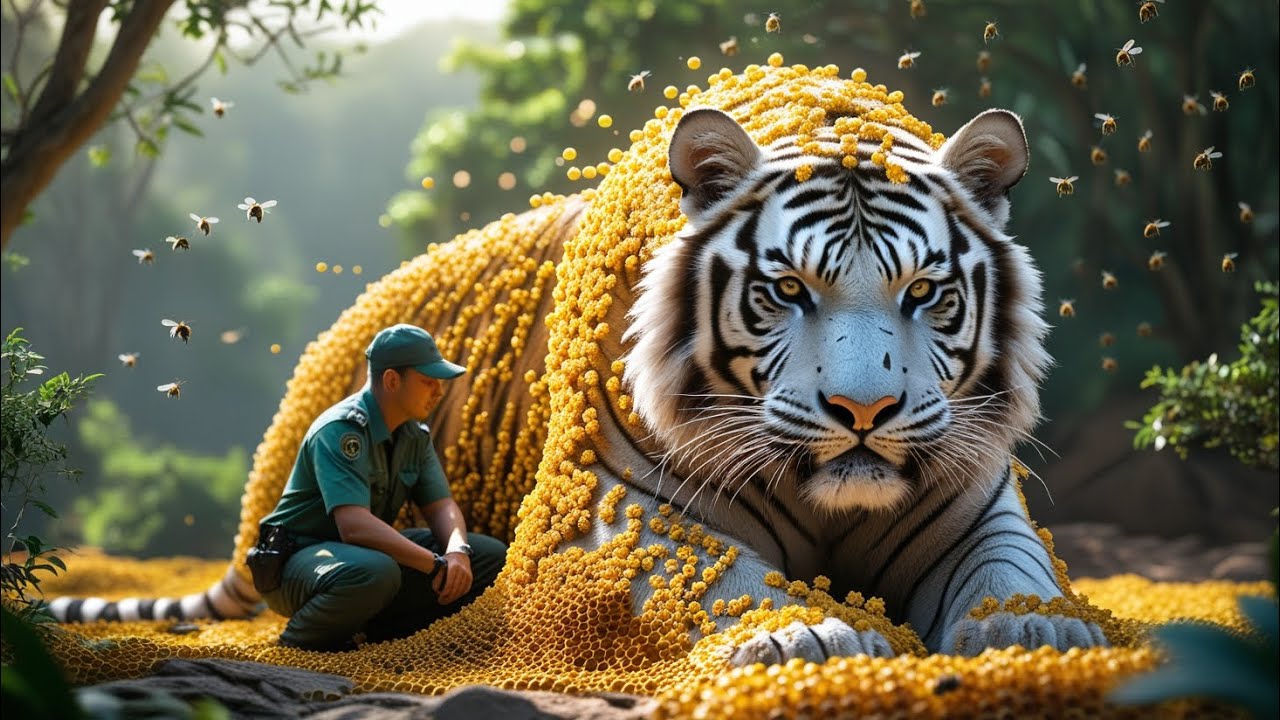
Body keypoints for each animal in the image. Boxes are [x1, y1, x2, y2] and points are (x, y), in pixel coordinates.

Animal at [48, 64, 1108, 667]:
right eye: (786, 290)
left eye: (924, 291)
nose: (864, 413)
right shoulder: (616, 508)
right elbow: (712, 573)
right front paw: (799, 632)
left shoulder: (977, 498)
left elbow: (1010, 569)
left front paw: (1037, 632)